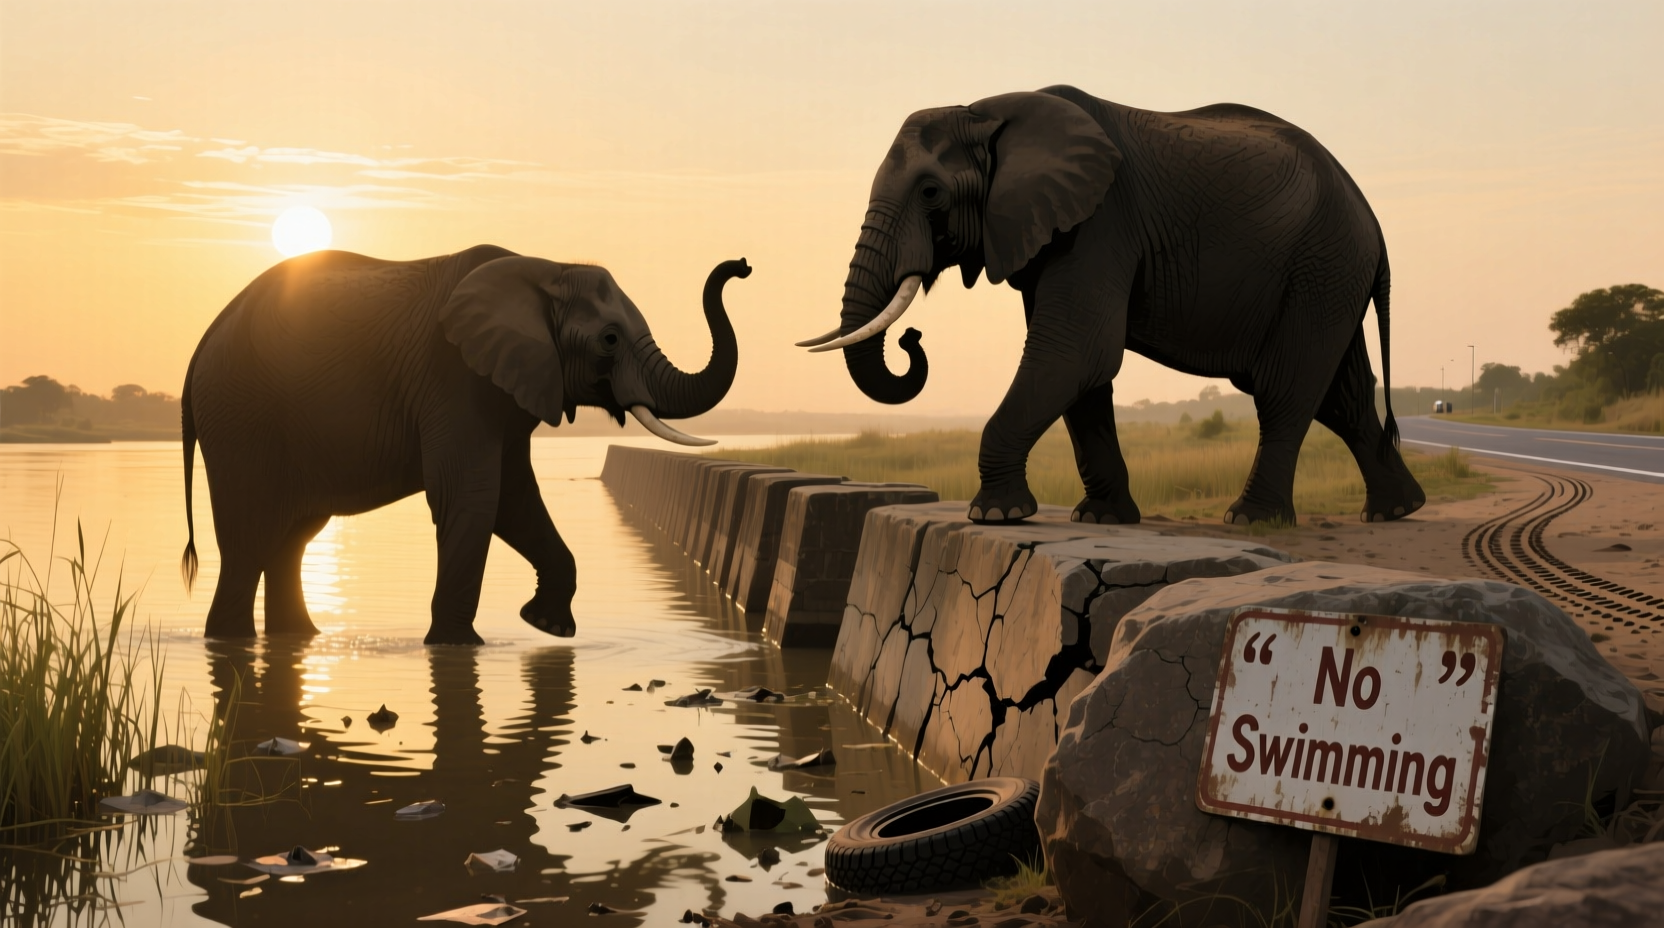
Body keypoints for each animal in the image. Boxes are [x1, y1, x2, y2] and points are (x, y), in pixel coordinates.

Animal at [180, 245, 748, 644]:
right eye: (609, 340)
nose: (740, 266)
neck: (546, 268)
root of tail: (201, 345)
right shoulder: (453, 377)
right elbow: (473, 496)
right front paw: (458, 645)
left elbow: (514, 499)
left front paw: (547, 628)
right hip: (240, 420)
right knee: (250, 537)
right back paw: (230, 639)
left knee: (292, 538)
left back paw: (300, 638)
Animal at [800, 85, 1425, 526]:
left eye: (931, 193)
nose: (914, 339)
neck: (987, 110)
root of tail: (1371, 216)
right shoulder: (1053, 233)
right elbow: (1081, 372)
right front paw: (1100, 518)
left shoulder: (1100, 224)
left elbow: (1075, 352)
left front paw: (995, 514)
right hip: (1330, 273)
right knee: (1342, 396)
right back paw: (1396, 510)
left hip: (1322, 263)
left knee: (1284, 389)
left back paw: (1253, 520)